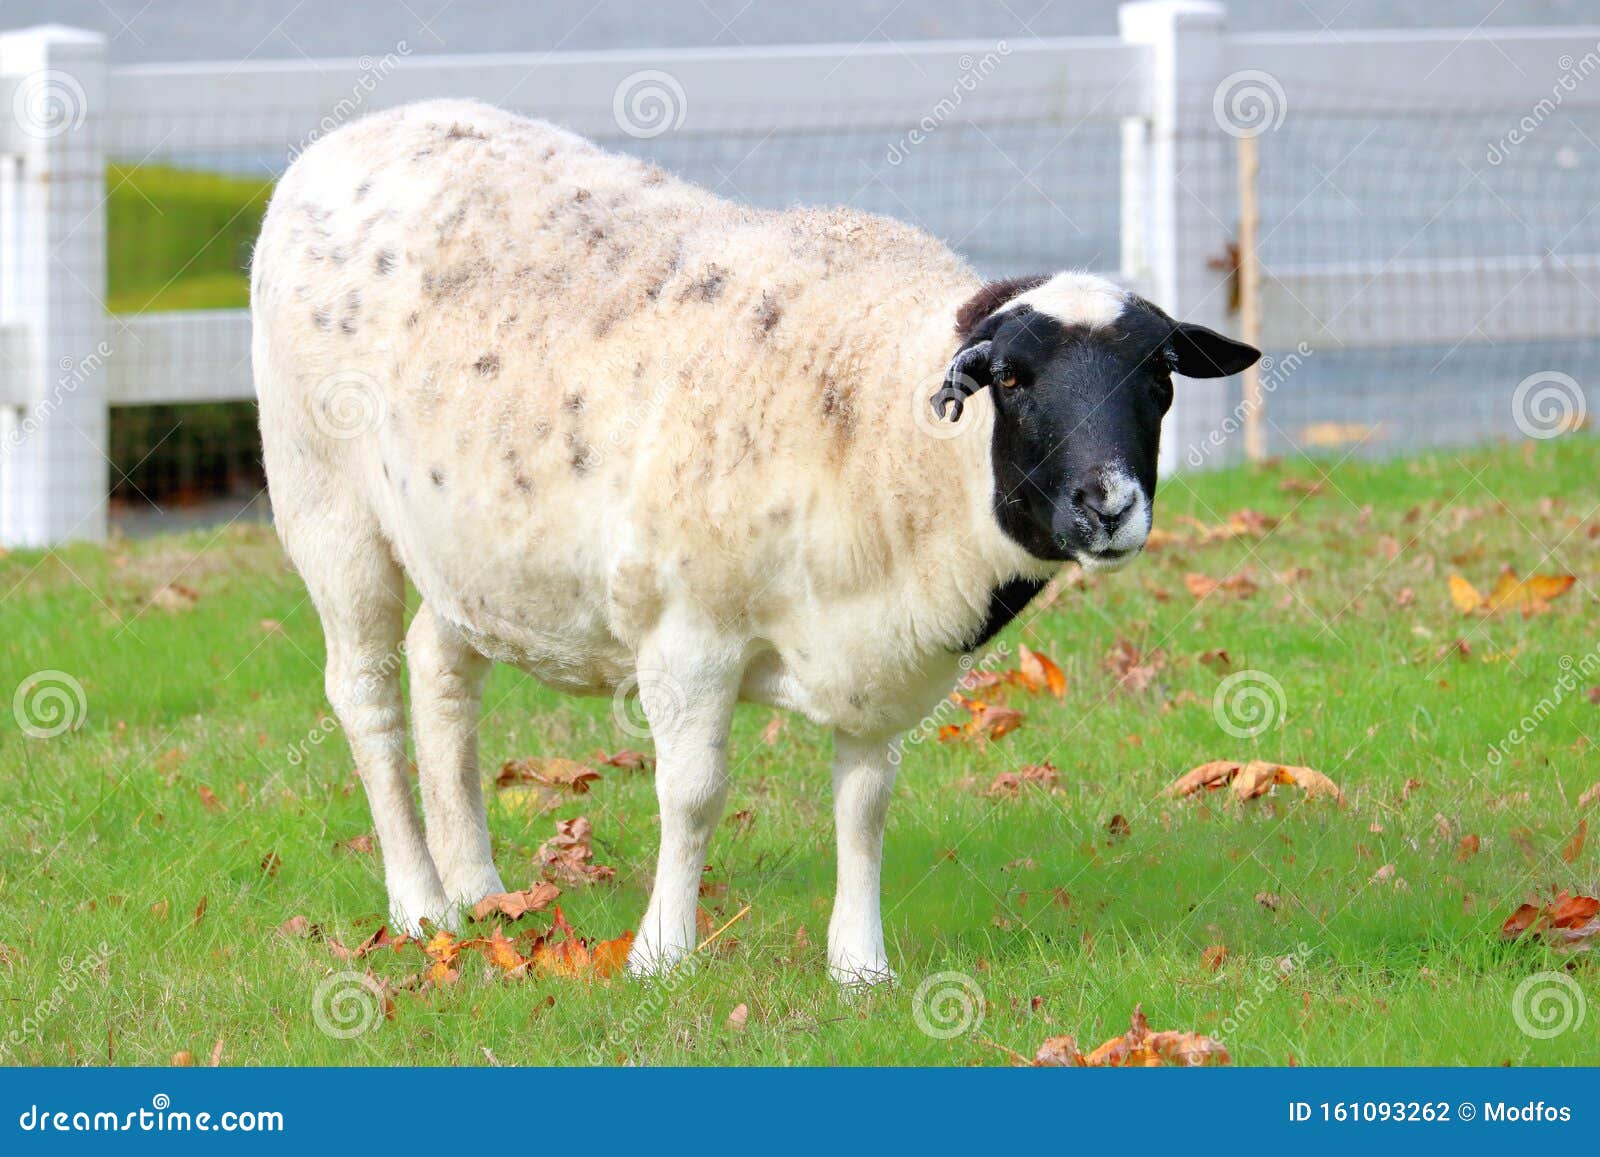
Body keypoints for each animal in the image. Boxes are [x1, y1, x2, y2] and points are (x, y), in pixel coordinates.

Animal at [252, 99, 1259, 984]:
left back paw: (478, 890)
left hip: (468, 546)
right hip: (325, 503)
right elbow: (693, 793)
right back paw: (420, 905)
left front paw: (859, 966)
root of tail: (351, 135)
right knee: (367, 695)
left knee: (441, 669)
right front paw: (662, 954)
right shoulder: (688, 631)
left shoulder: (881, 653)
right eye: (1010, 379)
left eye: (1161, 376)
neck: (873, 419)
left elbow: (865, 805)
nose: (1109, 504)